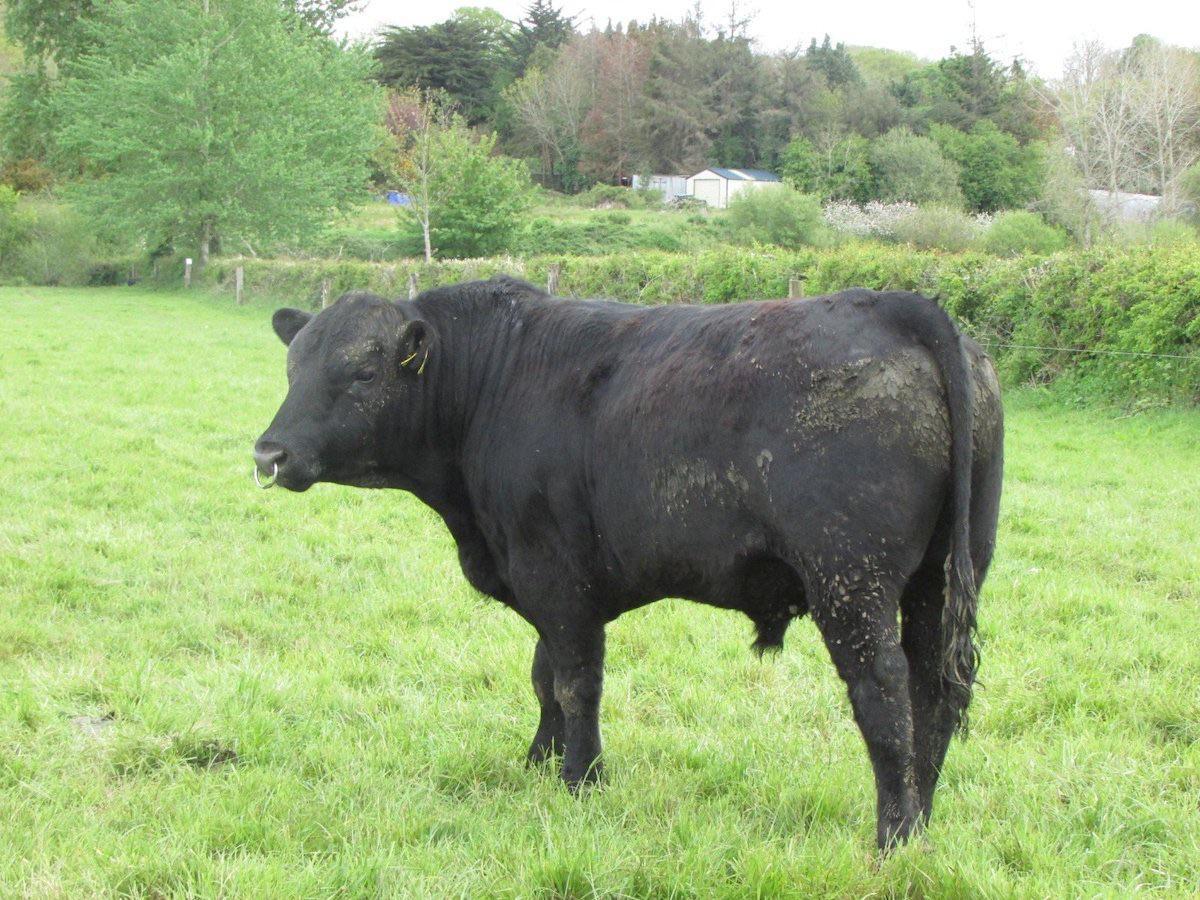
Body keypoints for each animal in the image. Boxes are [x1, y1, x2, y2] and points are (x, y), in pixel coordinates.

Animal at [252, 276, 1003, 849]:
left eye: (361, 372)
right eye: (292, 369)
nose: (269, 453)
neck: (490, 385)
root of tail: (895, 305)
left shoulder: (557, 578)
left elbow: (575, 683)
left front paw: (580, 779)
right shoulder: (548, 587)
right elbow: (543, 676)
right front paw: (538, 762)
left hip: (850, 581)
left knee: (884, 693)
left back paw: (893, 838)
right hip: (941, 577)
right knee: (933, 692)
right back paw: (921, 820)